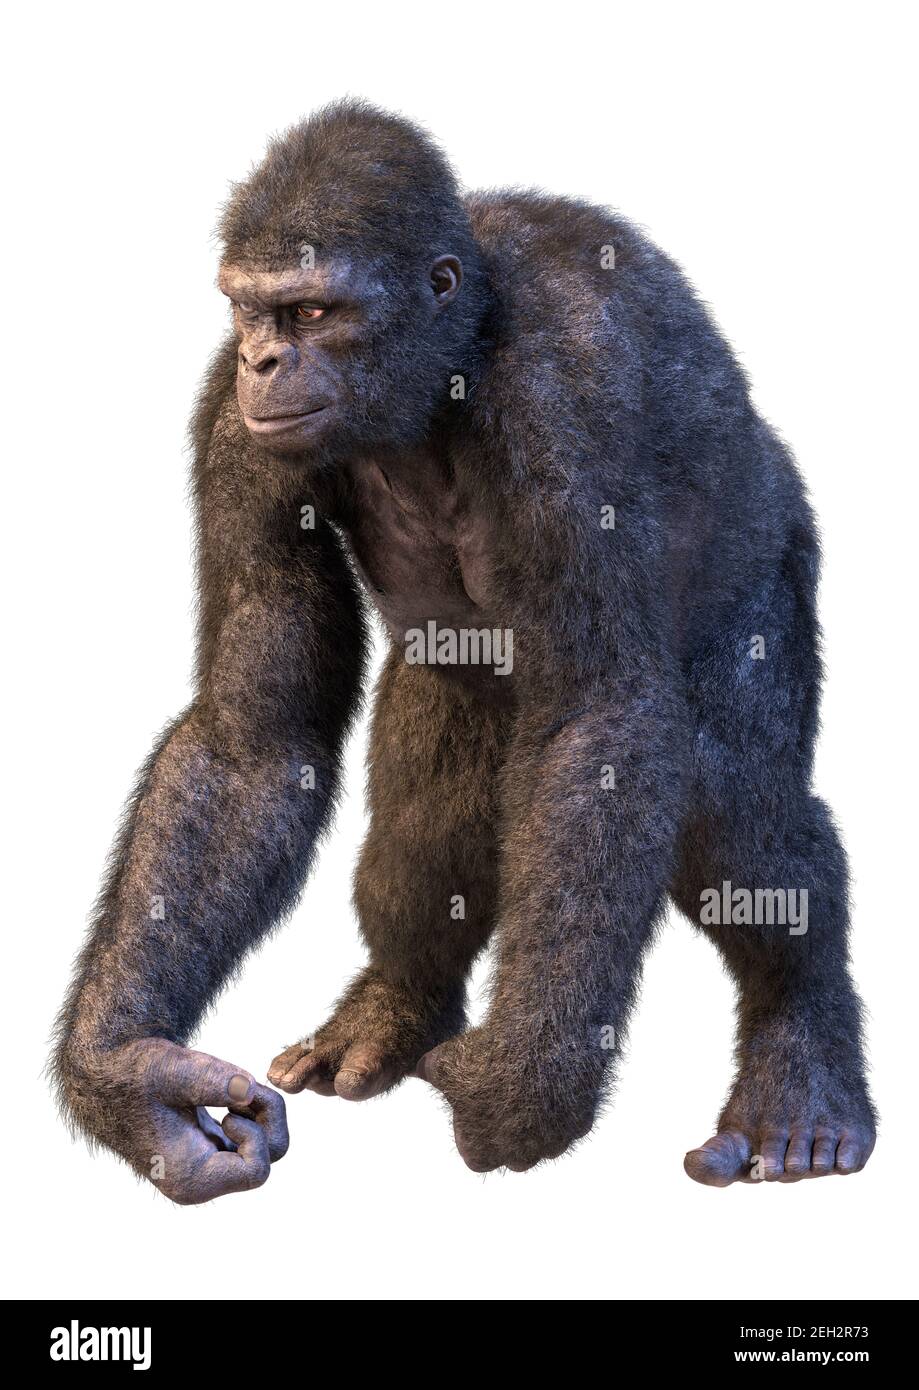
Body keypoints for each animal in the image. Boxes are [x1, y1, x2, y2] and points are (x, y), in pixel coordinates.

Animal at [52, 100, 876, 1202]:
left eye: (312, 312)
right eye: (252, 313)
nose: (263, 362)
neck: (439, 372)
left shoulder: (565, 409)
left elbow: (599, 721)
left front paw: (525, 1086)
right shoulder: (231, 432)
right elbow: (252, 736)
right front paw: (136, 1083)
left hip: (772, 565)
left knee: (734, 803)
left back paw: (801, 1061)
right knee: (424, 815)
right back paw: (395, 1002)